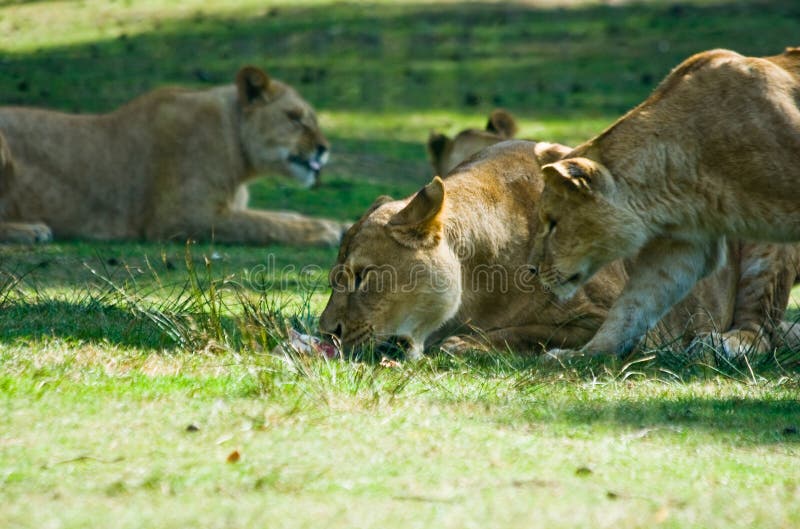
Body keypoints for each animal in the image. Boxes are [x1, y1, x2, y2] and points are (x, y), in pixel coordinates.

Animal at [0, 66, 345, 246]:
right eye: (296, 118)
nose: (324, 148)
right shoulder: (181, 217)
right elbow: (263, 225)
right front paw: (324, 233)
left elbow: (284, 216)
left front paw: (338, 224)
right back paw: (32, 230)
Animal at [319, 140, 799, 360]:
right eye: (335, 279)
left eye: (363, 275)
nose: (327, 333)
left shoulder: (629, 325)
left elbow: (530, 331)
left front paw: (465, 343)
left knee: (762, 331)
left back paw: (720, 343)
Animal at [529, 47, 800, 358]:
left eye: (553, 223)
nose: (531, 270)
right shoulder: (685, 243)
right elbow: (633, 304)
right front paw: (582, 354)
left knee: (762, 330)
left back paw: (725, 342)